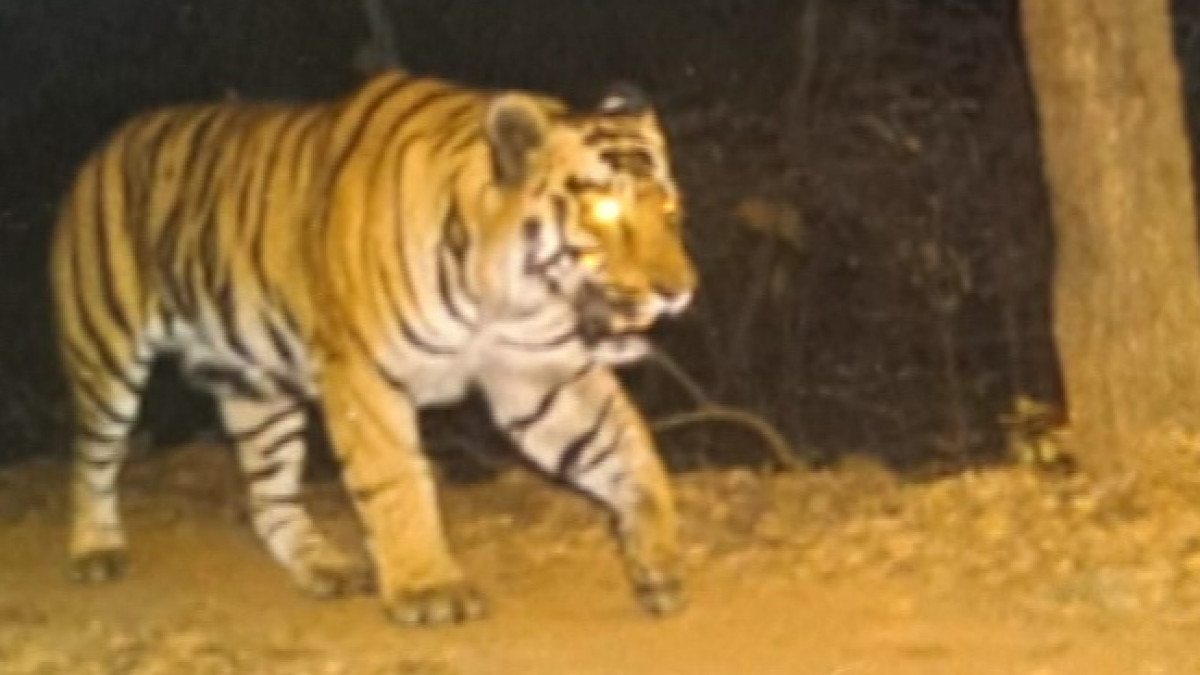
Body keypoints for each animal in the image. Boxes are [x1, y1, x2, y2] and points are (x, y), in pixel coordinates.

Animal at [49, 68, 697, 626]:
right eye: (604, 209)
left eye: (669, 208)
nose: (680, 293)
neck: (505, 297)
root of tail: (107, 145)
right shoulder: (364, 372)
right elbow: (396, 479)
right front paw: (429, 589)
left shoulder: (540, 371)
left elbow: (627, 447)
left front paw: (658, 561)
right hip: (106, 352)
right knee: (91, 458)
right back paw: (94, 550)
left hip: (258, 386)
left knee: (270, 497)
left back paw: (323, 568)